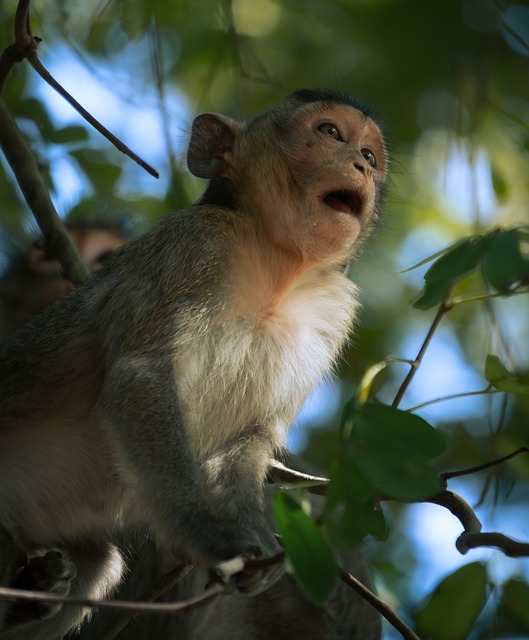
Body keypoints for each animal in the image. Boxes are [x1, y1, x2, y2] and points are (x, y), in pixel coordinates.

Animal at [0, 88, 387, 639]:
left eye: (371, 156)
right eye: (330, 133)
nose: (360, 164)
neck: (274, 268)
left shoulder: (332, 312)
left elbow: (249, 440)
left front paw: (255, 543)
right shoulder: (194, 243)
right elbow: (141, 376)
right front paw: (208, 537)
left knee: (98, 563)